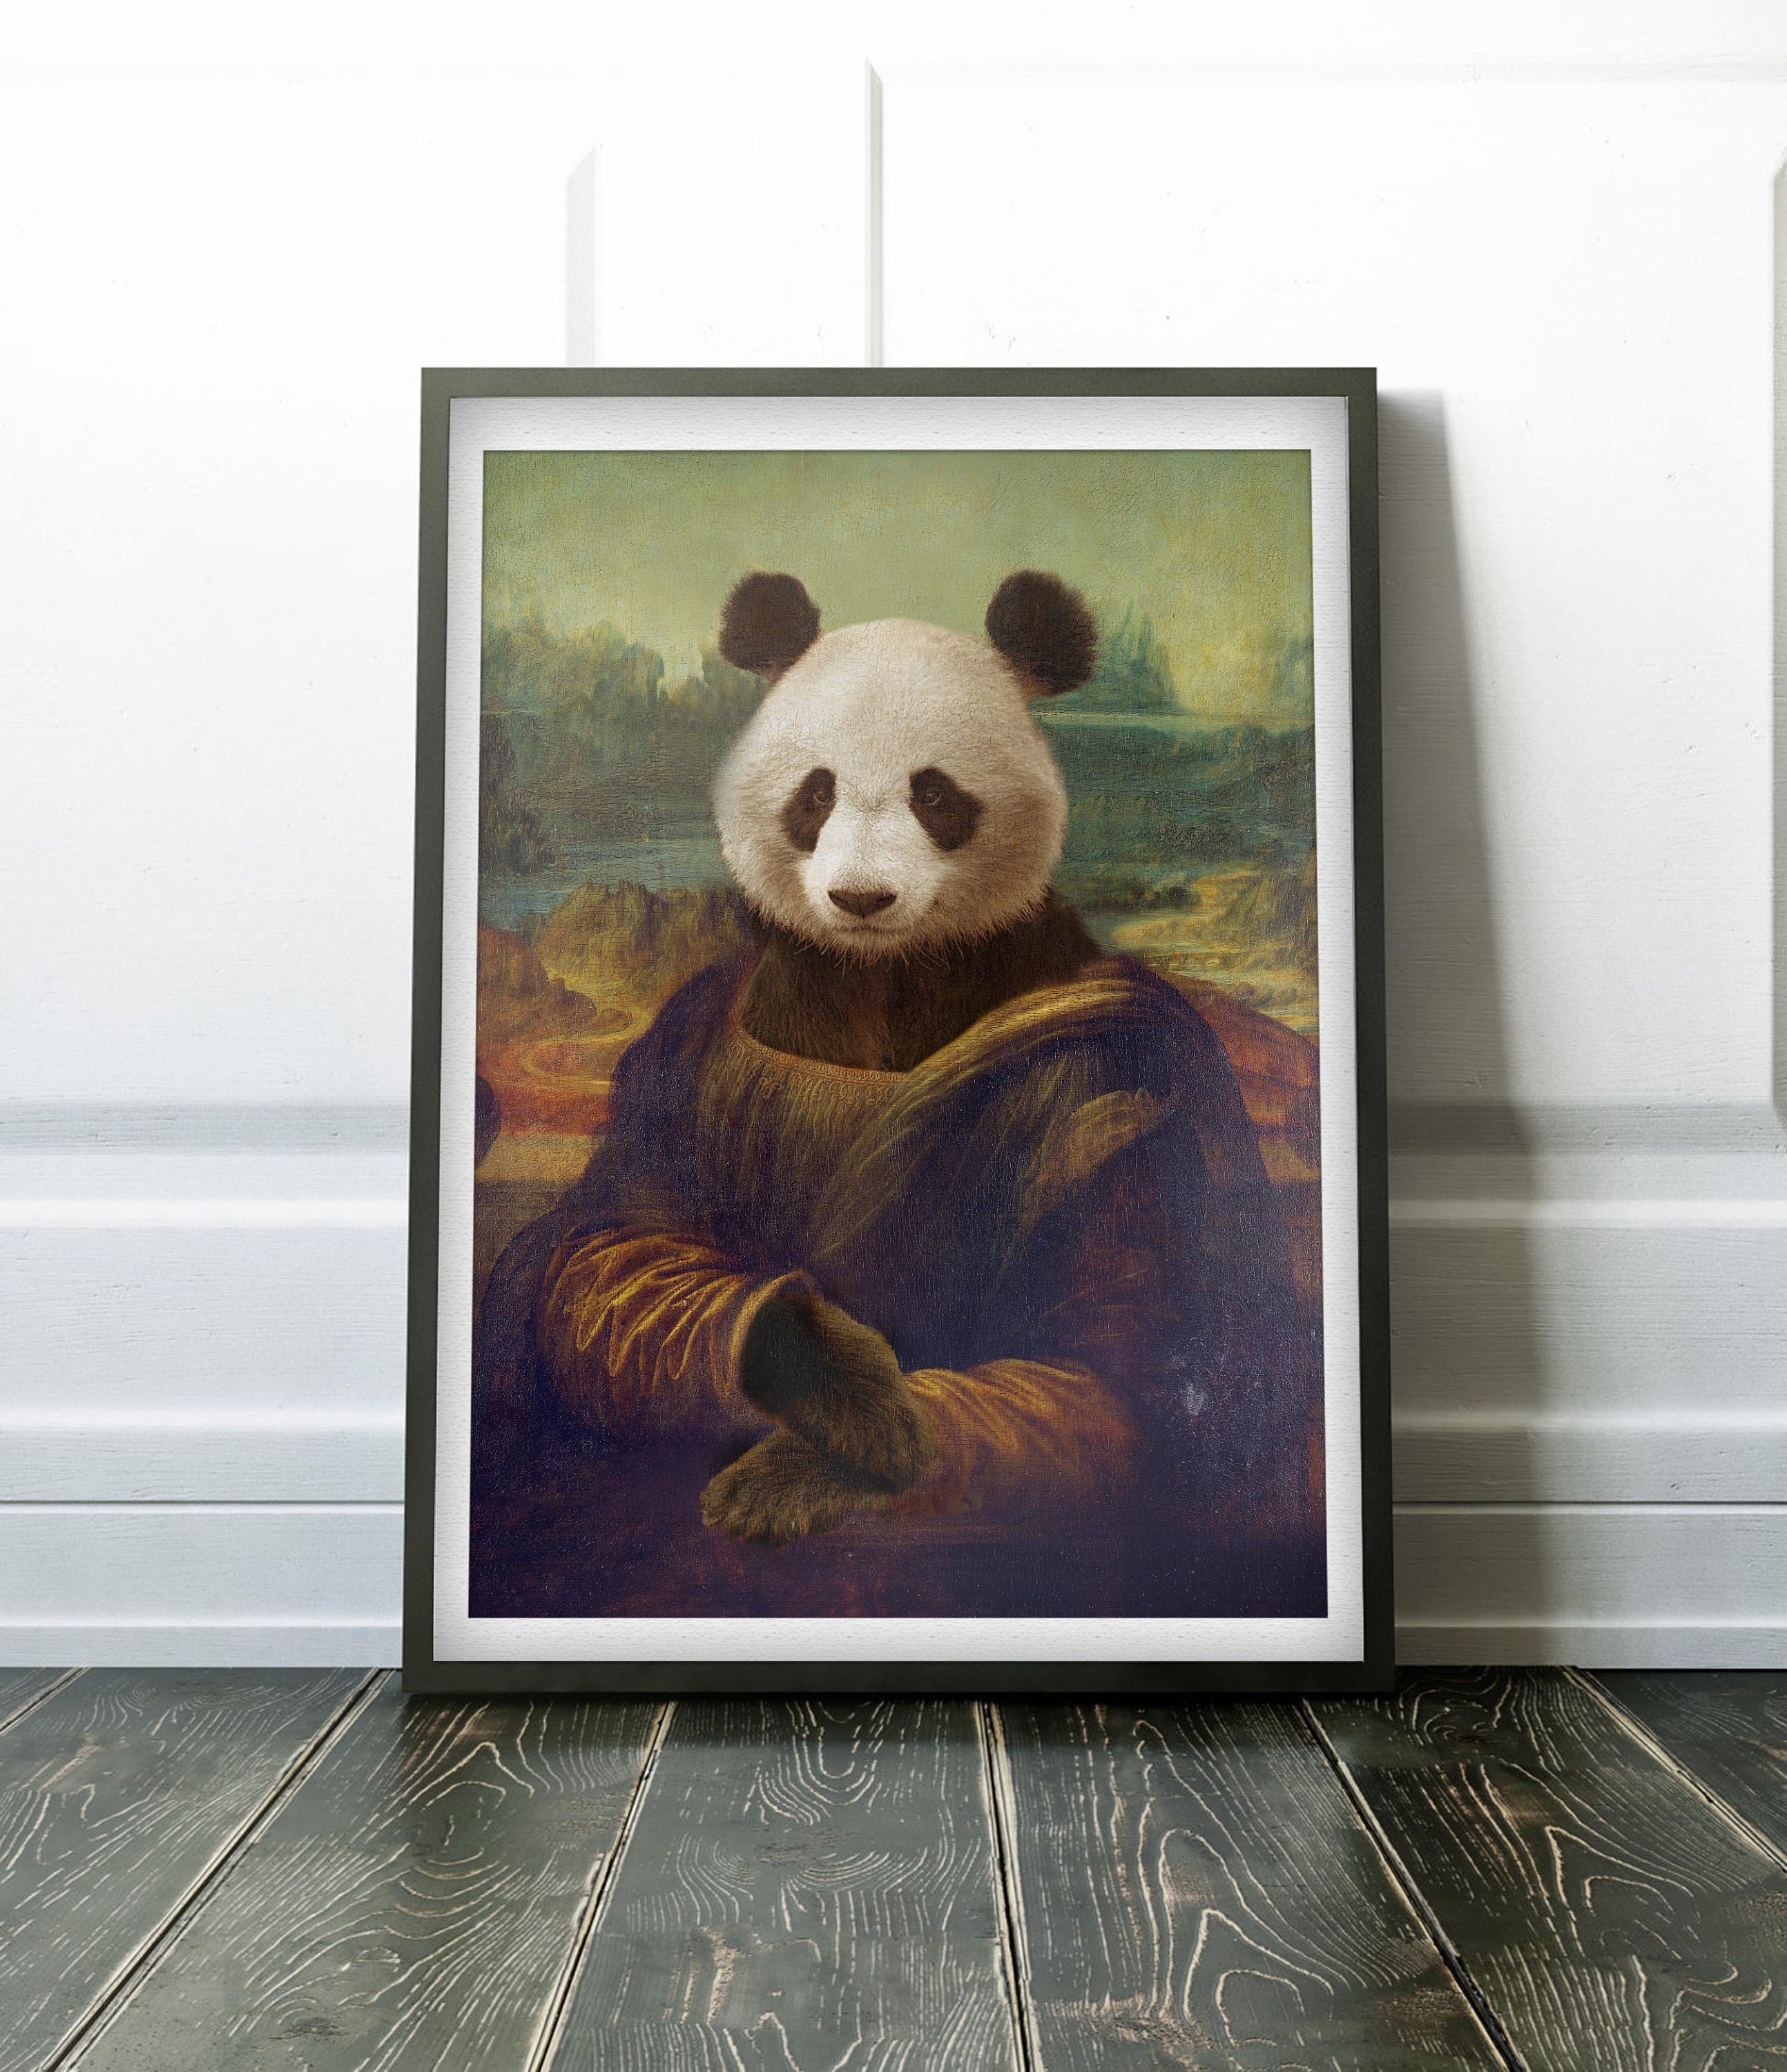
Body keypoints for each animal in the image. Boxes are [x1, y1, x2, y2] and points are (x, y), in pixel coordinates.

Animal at [471, 571, 1322, 1621]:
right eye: (816, 791)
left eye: (935, 794)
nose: (861, 899)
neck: (879, 991)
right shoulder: (683, 1049)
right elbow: (602, 1252)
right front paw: (851, 1394)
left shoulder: (1123, 1091)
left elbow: (1112, 1369)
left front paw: (817, 1464)